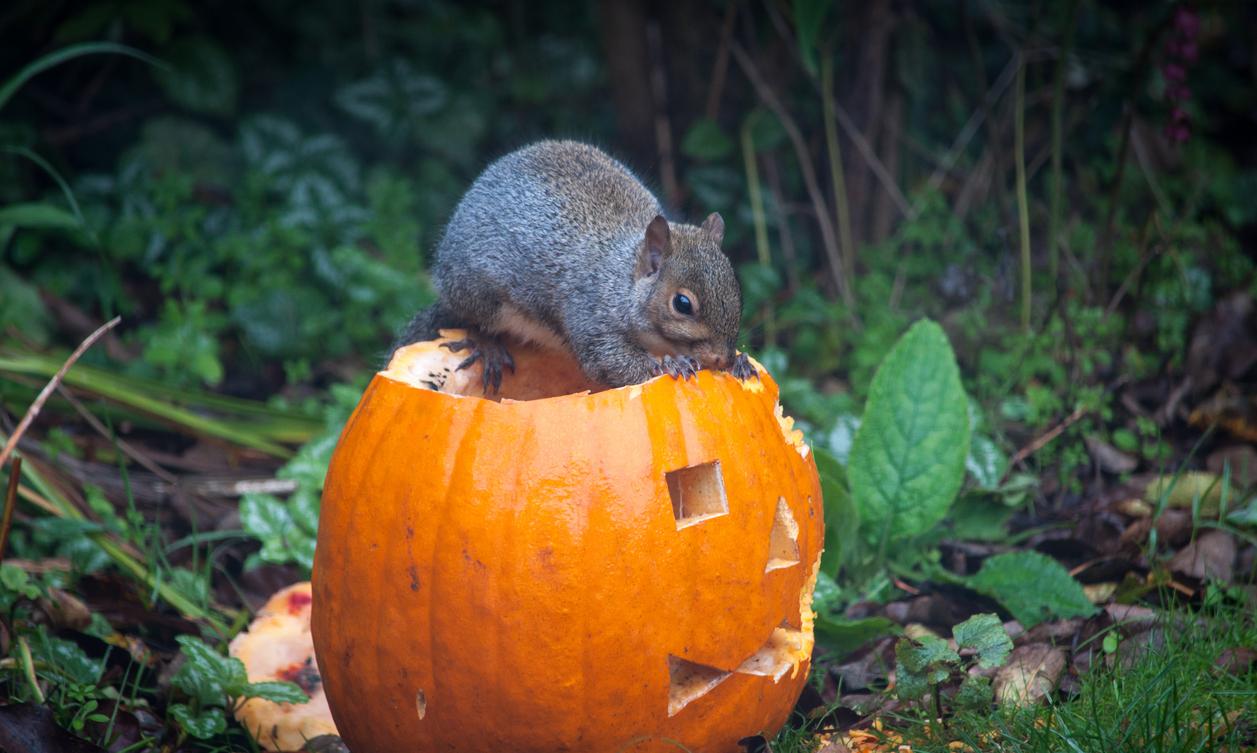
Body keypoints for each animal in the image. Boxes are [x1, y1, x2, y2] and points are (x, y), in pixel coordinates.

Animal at [391, 139, 755, 391]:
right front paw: (667, 366)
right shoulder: (590, 315)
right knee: (471, 320)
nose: (723, 358)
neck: (621, 279)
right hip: (479, 293)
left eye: (737, 288)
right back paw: (487, 344)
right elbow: (609, 362)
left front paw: (740, 365)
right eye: (682, 304)